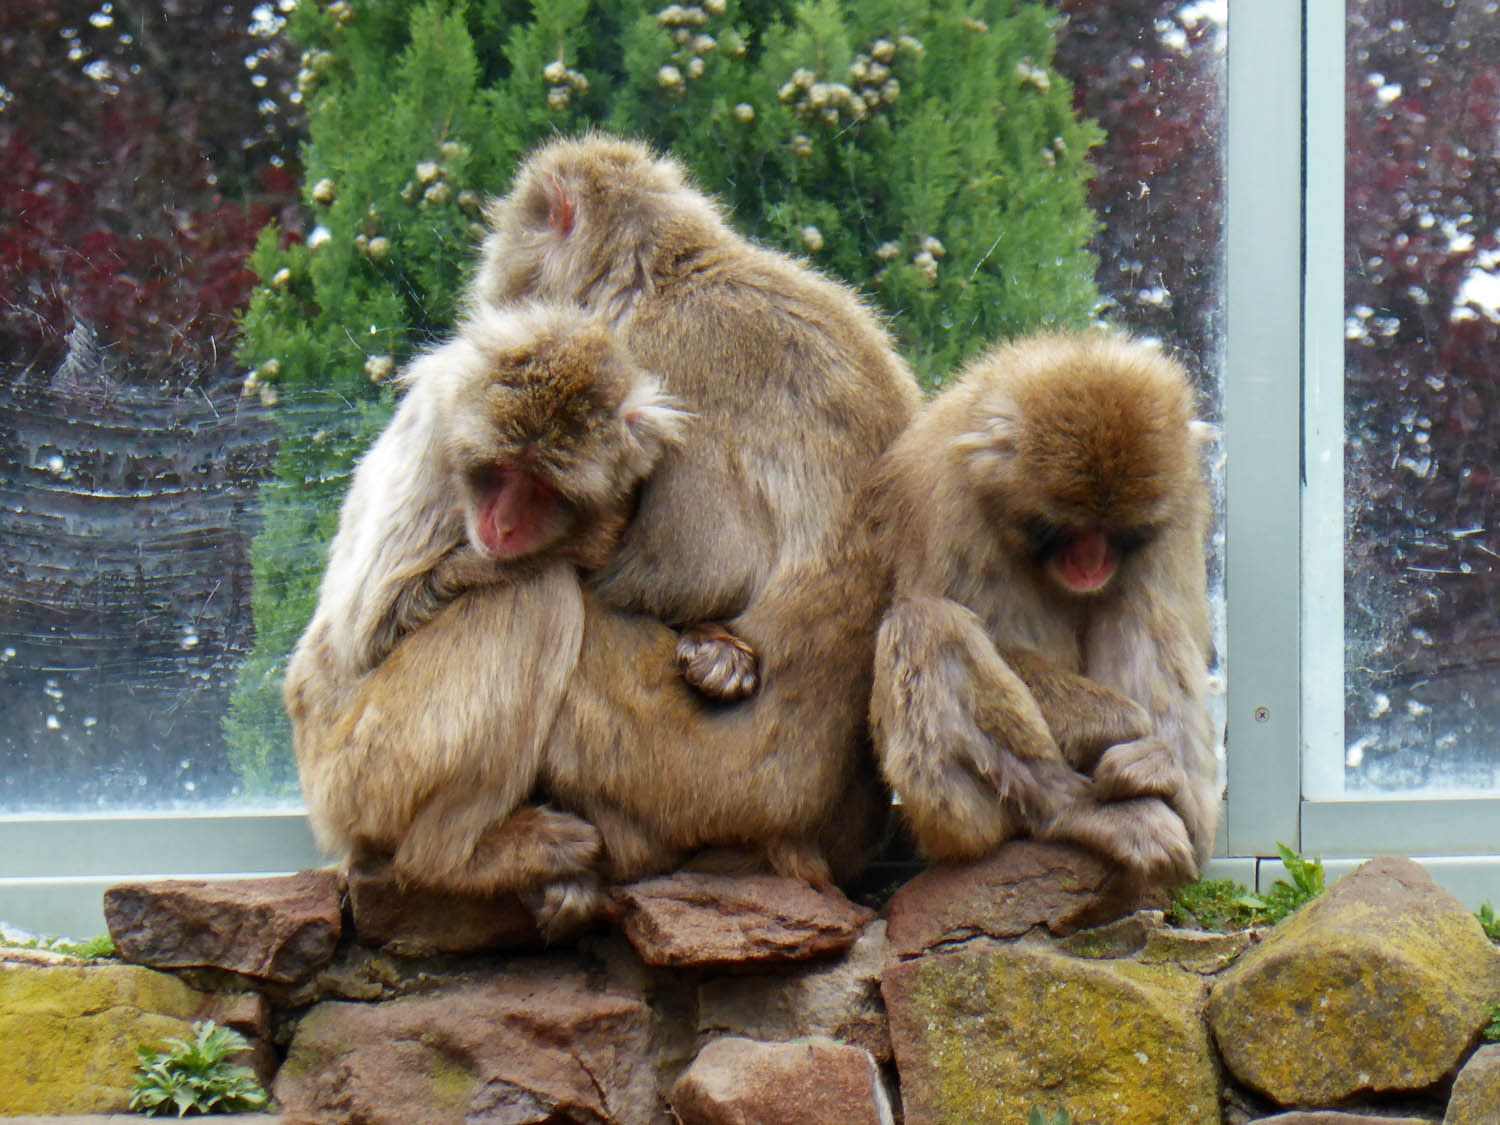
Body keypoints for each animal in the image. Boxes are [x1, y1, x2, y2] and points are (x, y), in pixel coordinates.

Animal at [285, 133, 922, 932]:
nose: (489, 288)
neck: (673, 271)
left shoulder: (660, 356)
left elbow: (702, 566)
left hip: (678, 771)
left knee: (539, 600)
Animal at [868, 331, 1219, 887]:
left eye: (1115, 529)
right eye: (1067, 527)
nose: (1092, 562)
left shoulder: (1180, 507)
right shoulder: (948, 501)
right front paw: (1125, 722)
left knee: (1137, 606)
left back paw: (1176, 794)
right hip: (956, 827)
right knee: (923, 621)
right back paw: (1075, 807)